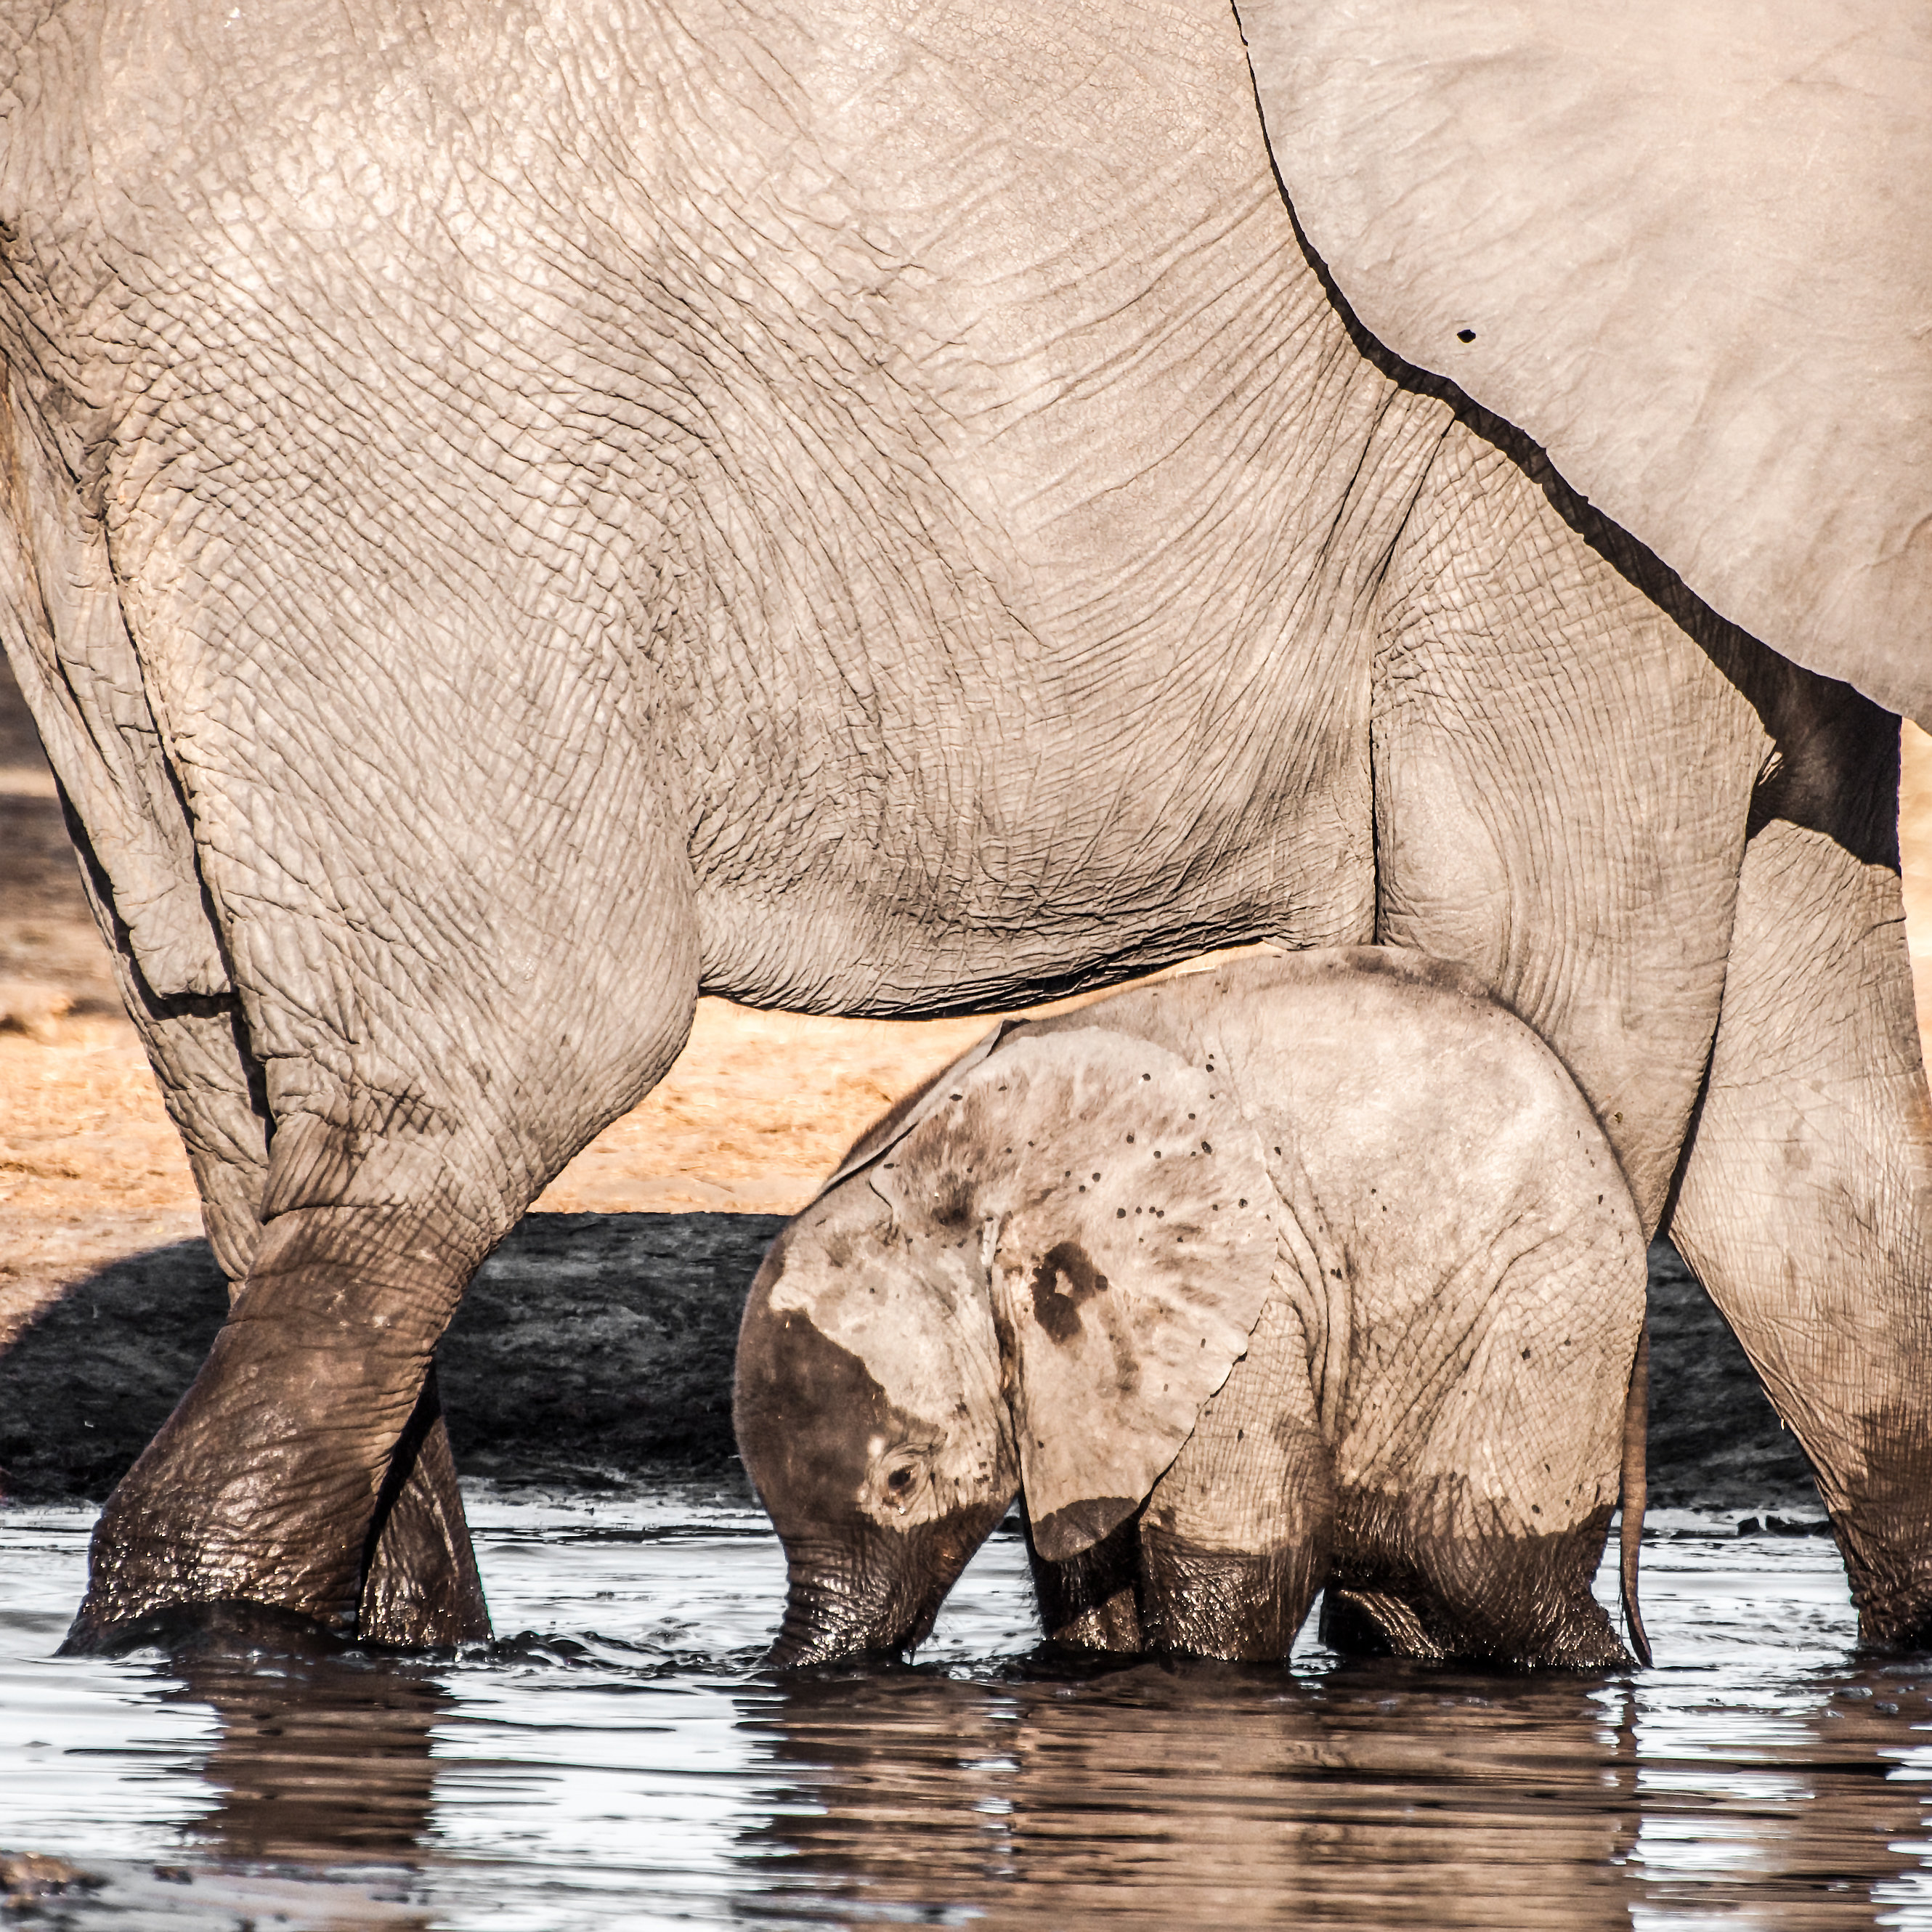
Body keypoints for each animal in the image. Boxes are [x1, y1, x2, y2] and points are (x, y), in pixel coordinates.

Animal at [735, 945, 1651, 1669]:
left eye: (903, 1479)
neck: (957, 1180)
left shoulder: (1255, 1296)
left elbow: (1236, 1558)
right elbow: (1087, 1568)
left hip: (1537, 1311)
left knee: (1487, 1579)